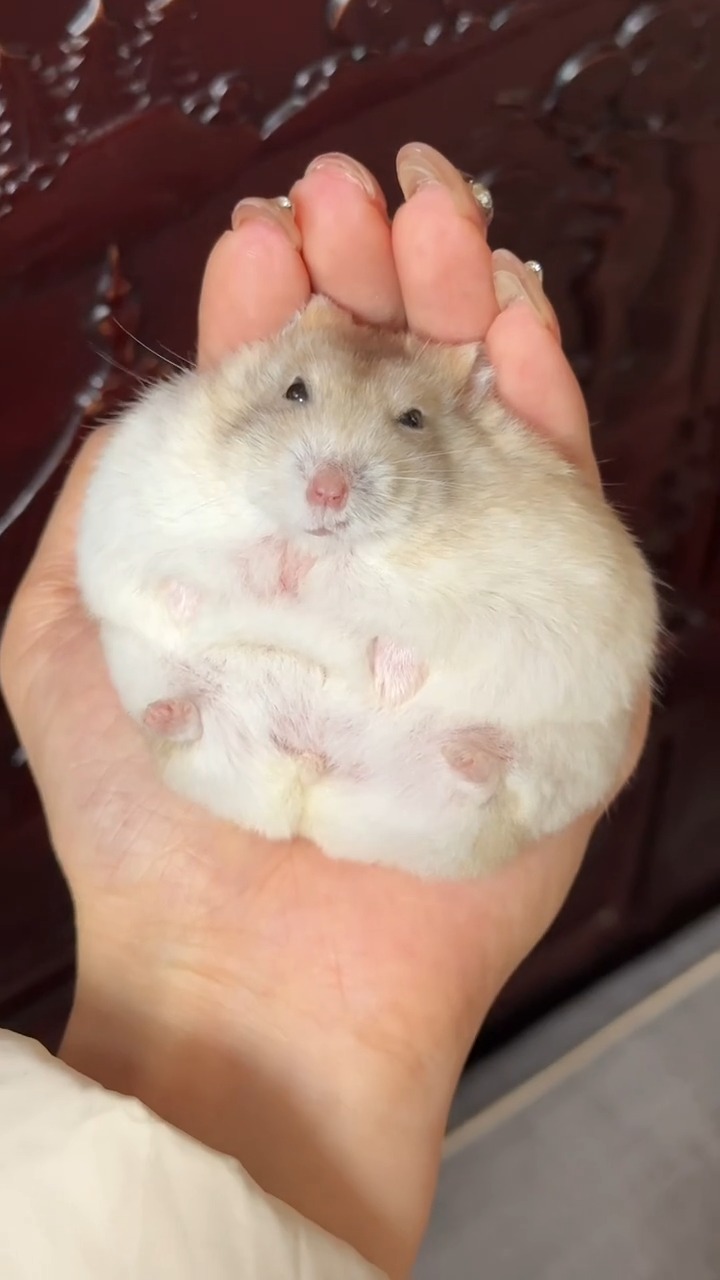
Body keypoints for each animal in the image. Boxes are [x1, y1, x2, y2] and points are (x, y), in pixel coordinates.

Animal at [76, 296, 659, 879]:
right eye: (295, 391)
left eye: (413, 419)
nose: (327, 490)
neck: (323, 547)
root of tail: (312, 773)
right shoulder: (139, 494)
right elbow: (197, 568)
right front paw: (223, 599)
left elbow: (412, 624)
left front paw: (386, 678)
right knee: (186, 730)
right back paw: (169, 713)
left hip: (541, 771)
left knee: (493, 792)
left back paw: (470, 756)